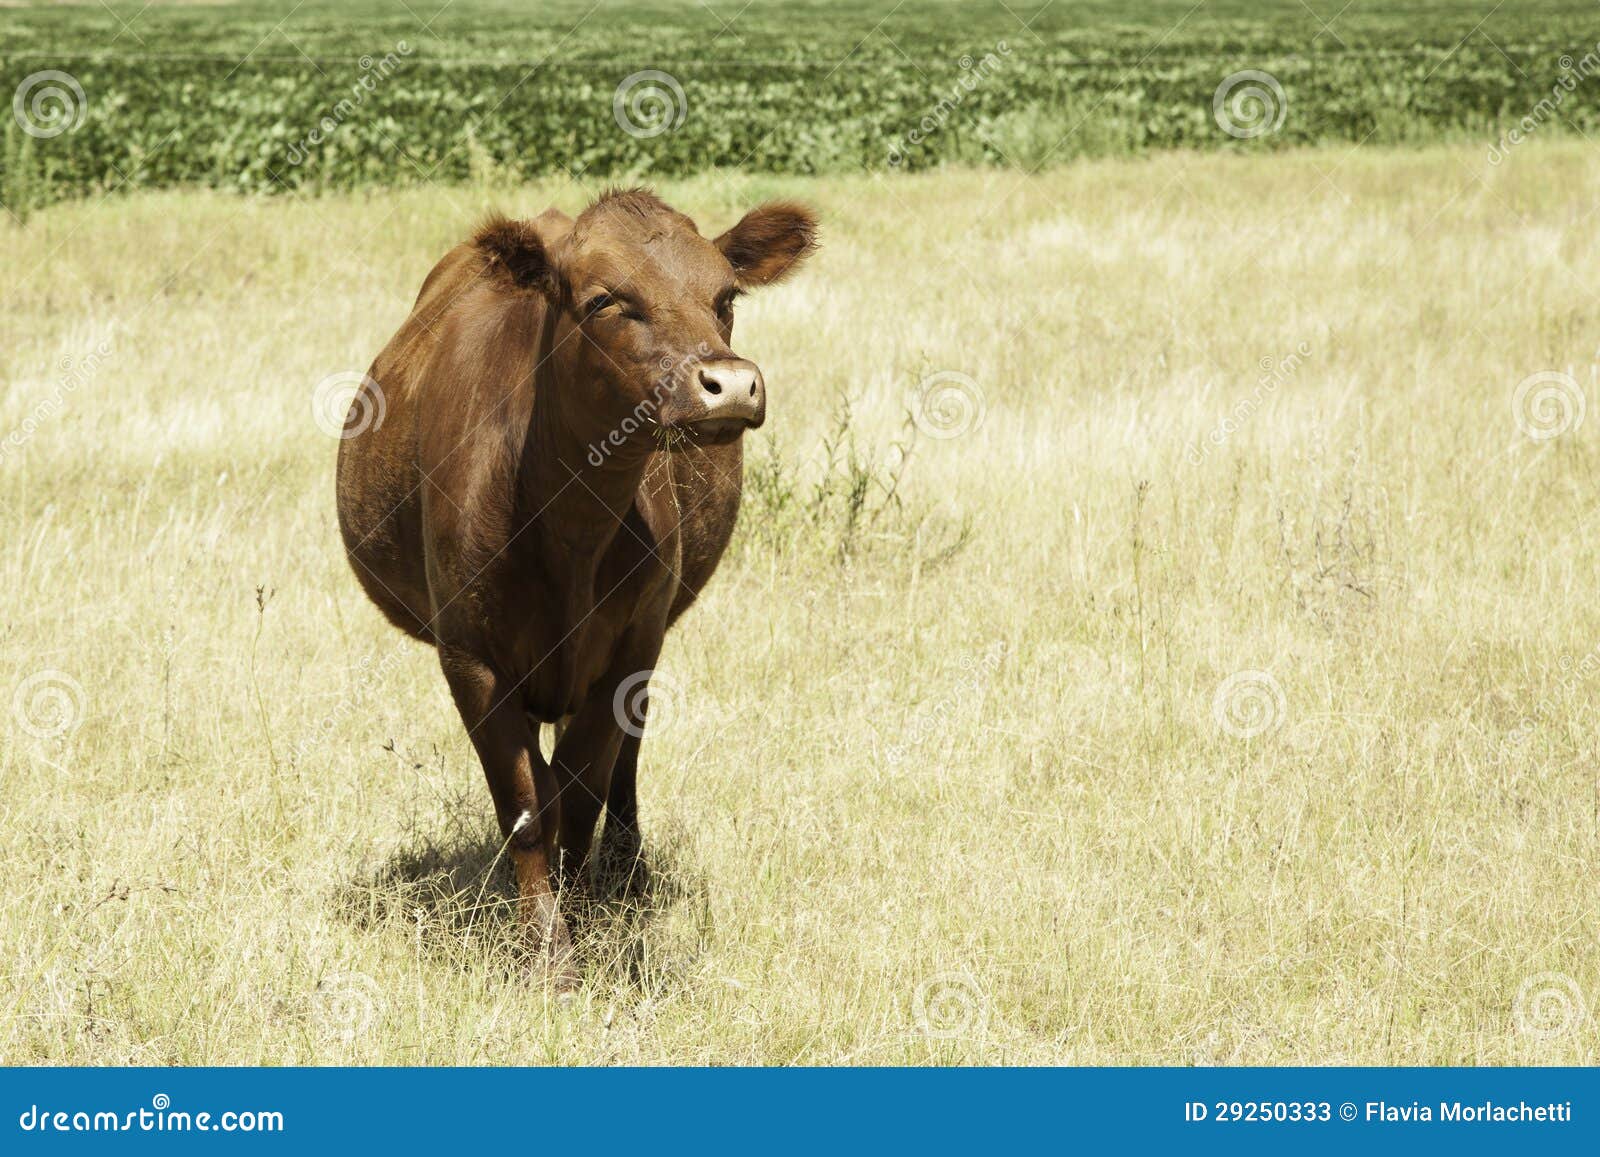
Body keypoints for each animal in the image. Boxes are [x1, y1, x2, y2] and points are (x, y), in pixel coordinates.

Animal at [334, 188, 818, 983]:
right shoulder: (470, 656)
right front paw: (546, 953)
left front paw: (583, 924)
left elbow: (582, 793)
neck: (568, 525)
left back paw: (625, 872)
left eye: (726, 298)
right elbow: (529, 805)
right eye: (603, 300)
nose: (729, 386)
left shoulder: (630, 651)